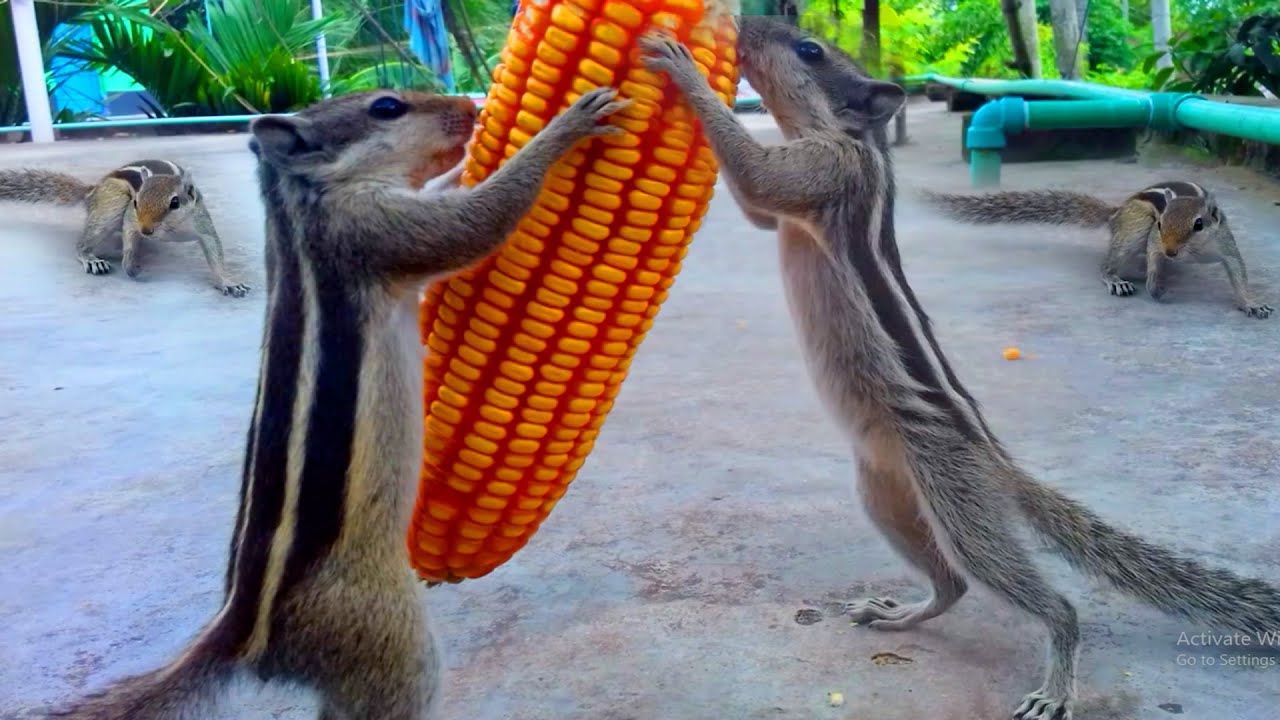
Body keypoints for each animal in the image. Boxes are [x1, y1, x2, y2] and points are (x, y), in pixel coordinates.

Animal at [0, 159, 250, 297]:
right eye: (137, 201)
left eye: (175, 203)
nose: (146, 231)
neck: (169, 231)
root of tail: (93, 191)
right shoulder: (131, 218)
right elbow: (130, 238)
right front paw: (132, 266)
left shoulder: (201, 222)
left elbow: (214, 251)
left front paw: (228, 282)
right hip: (111, 204)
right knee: (84, 242)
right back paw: (92, 258)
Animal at [41, 87, 630, 719]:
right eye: (387, 106)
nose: (469, 108)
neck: (303, 202)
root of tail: (247, 637)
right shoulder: (376, 229)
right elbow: (479, 222)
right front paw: (568, 124)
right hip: (391, 640)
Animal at [921, 181, 1274, 318]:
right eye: (1161, 224)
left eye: (1199, 225)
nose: (1172, 252)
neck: (1194, 252)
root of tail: (1117, 212)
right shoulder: (1153, 239)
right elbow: (1154, 259)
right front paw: (1156, 287)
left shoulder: (1225, 245)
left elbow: (1238, 273)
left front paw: (1252, 303)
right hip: (1134, 227)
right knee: (1111, 261)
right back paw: (1118, 278)